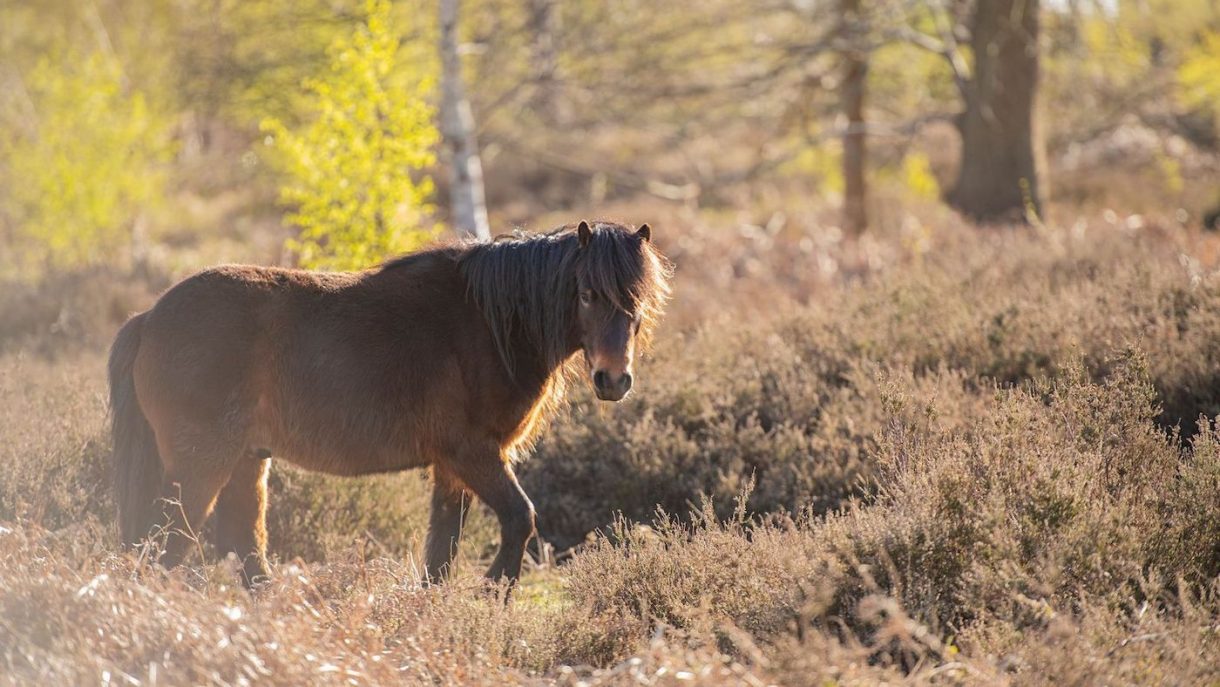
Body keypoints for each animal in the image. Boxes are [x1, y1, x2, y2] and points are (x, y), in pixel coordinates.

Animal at [108, 220, 672, 587]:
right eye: (587, 293)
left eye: (639, 299)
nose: (613, 379)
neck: (488, 325)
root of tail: (150, 317)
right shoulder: (474, 453)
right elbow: (520, 518)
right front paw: (493, 594)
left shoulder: (452, 469)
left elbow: (442, 554)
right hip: (201, 468)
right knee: (168, 546)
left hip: (248, 462)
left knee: (245, 548)